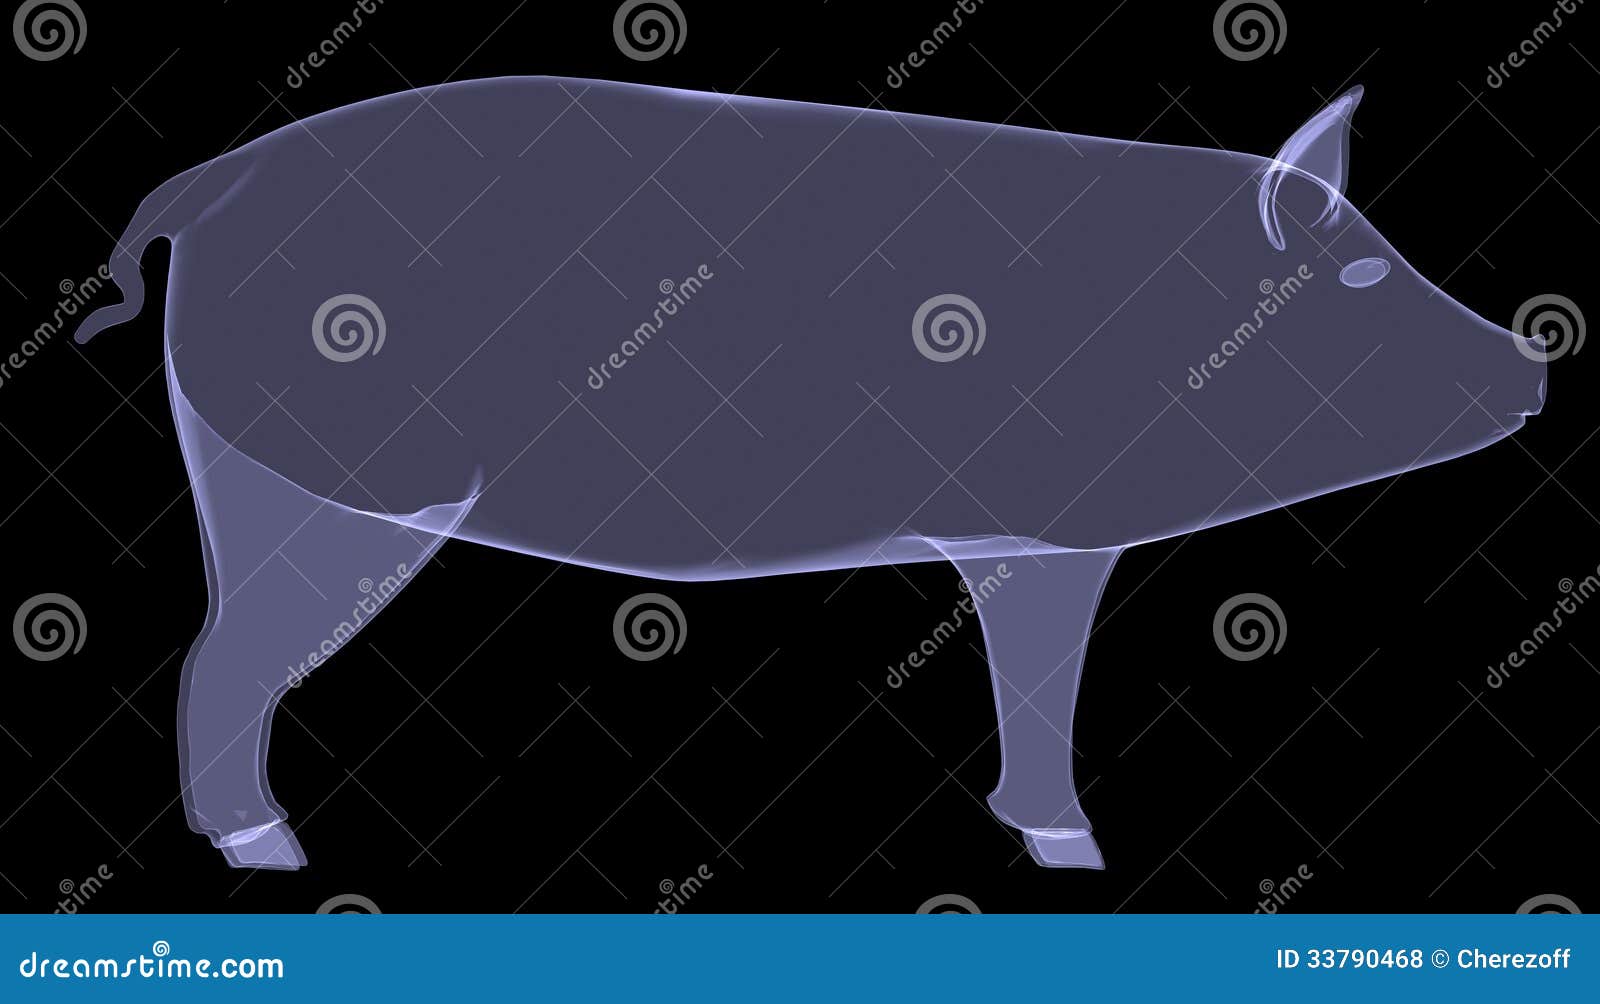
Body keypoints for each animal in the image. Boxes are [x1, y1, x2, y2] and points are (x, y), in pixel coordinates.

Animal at [71, 77, 1544, 870]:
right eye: (1361, 279)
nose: (1539, 359)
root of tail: (208, 181)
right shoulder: (1044, 530)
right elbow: (1040, 683)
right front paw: (1079, 849)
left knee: (214, 644)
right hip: (346, 489)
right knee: (223, 657)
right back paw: (277, 853)